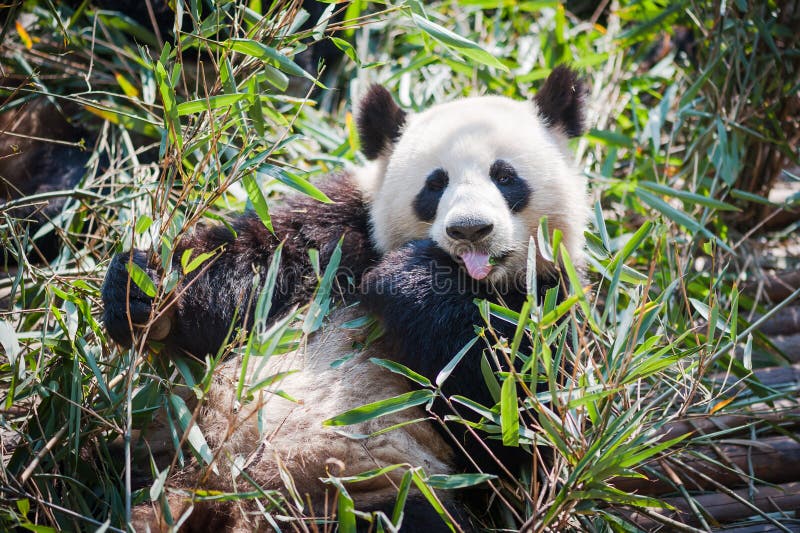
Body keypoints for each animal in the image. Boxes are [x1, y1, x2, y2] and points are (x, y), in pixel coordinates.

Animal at [101, 65, 588, 532]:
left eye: (505, 177)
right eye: (435, 185)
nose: (469, 230)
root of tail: (229, 501)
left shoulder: (550, 303)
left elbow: (511, 420)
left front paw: (410, 278)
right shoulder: (337, 231)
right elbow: (254, 262)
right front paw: (146, 292)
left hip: (372, 492)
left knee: (410, 515)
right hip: (171, 441)